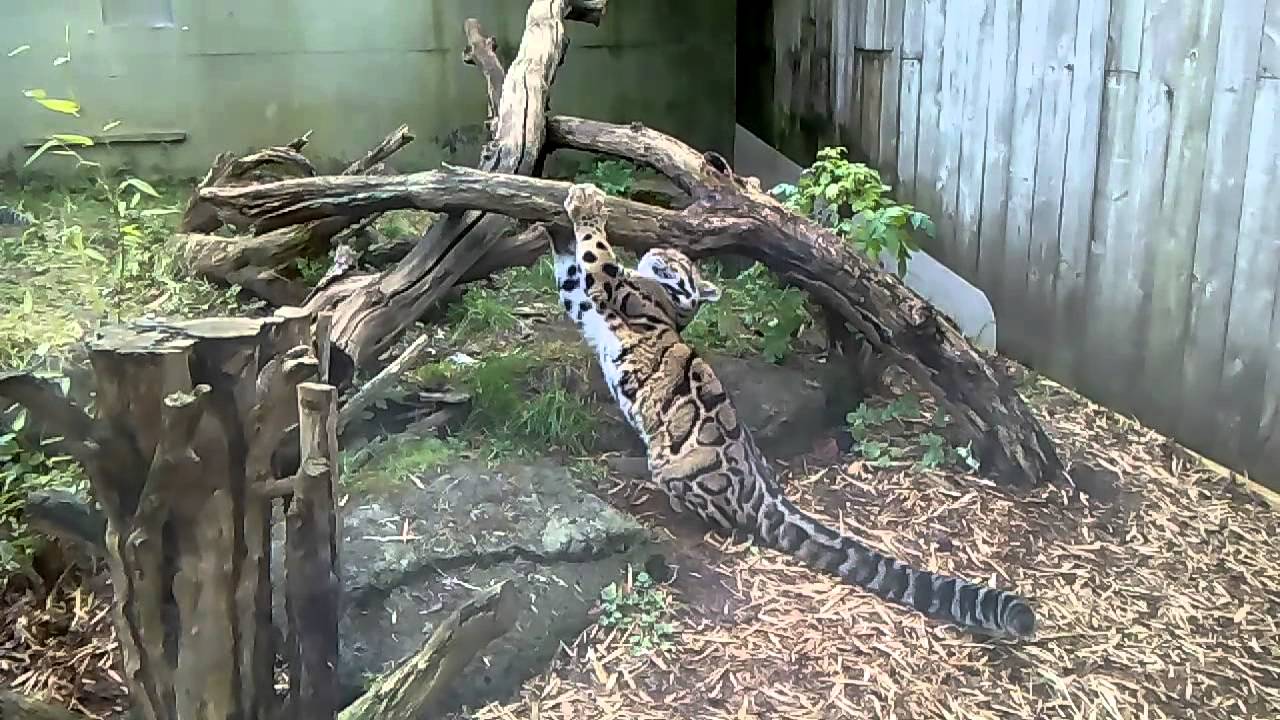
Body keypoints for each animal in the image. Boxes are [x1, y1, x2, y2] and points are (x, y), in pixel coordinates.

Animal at [550, 182, 1036, 640]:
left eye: (679, 260)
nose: (659, 251)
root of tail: (767, 493)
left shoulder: (611, 288)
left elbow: (596, 253)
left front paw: (584, 203)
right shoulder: (583, 301)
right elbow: (570, 274)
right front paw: (555, 224)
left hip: (675, 470)